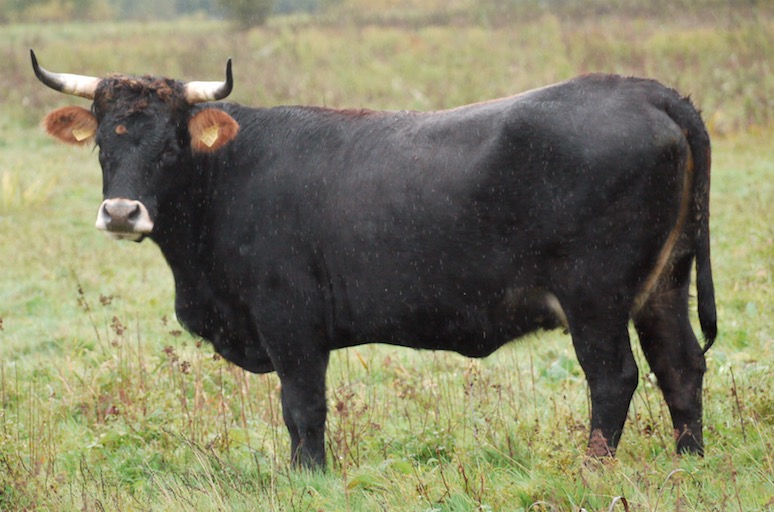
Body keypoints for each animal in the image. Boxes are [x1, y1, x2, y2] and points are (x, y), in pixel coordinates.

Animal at [31, 49, 716, 469]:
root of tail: (647, 92)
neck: (228, 172)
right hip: (663, 286)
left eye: (172, 142)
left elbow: (303, 410)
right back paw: (688, 463)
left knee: (614, 378)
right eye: (102, 138)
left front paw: (307, 479)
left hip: (595, 297)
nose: (123, 212)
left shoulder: (290, 324)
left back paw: (591, 469)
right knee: (680, 366)